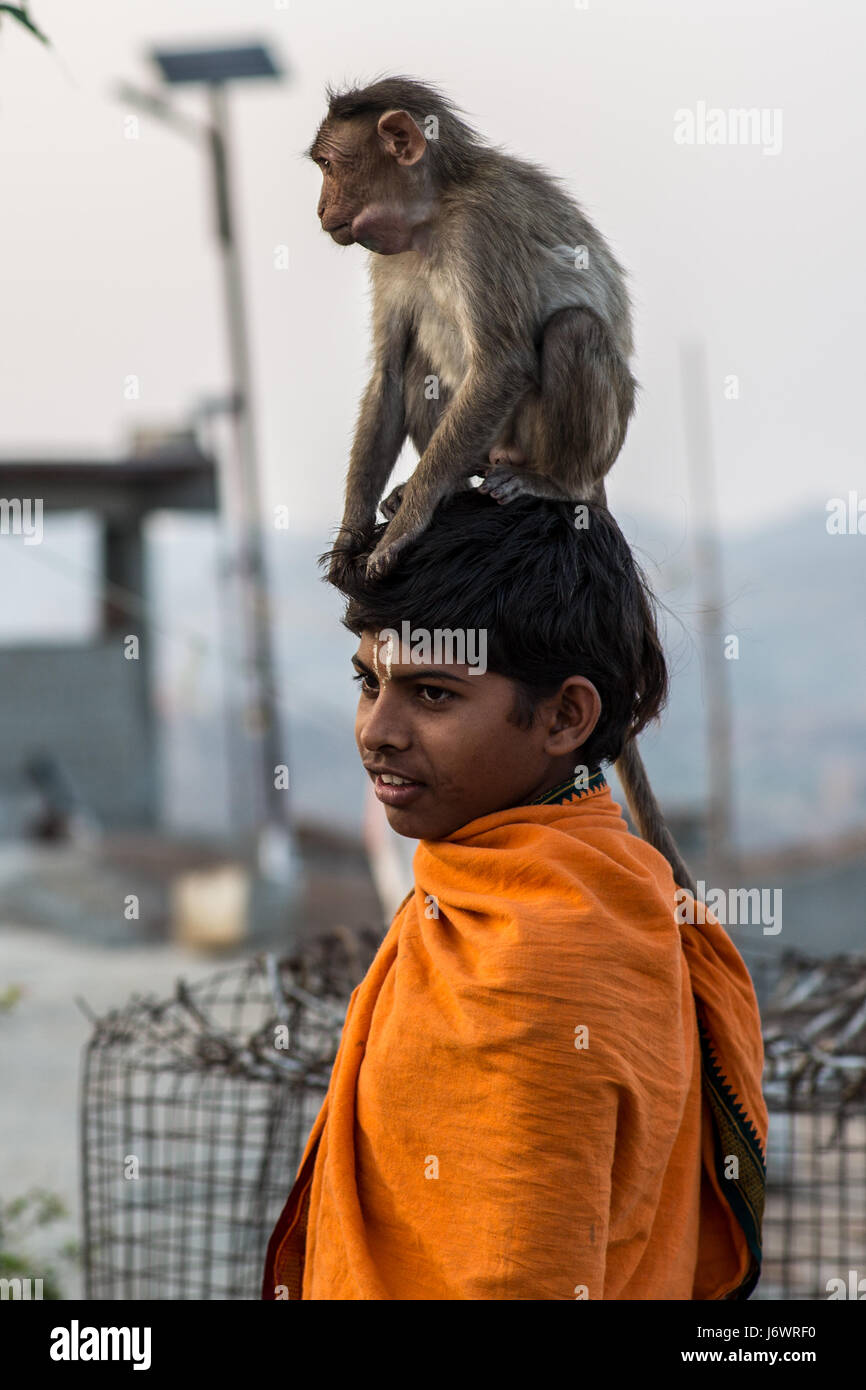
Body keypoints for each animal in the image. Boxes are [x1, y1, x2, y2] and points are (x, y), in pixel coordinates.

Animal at [311, 76, 696, 896]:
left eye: (330, 166)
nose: (321, 209)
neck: (432, 216)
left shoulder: (479, 232)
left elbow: (505, 361)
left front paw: (401, 534)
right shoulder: (389, 260)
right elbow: (389, 374)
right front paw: (356, 531)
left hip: (589, 436)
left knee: (572, 331)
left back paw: (538, 483)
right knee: (422, 355)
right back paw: (434, 484)